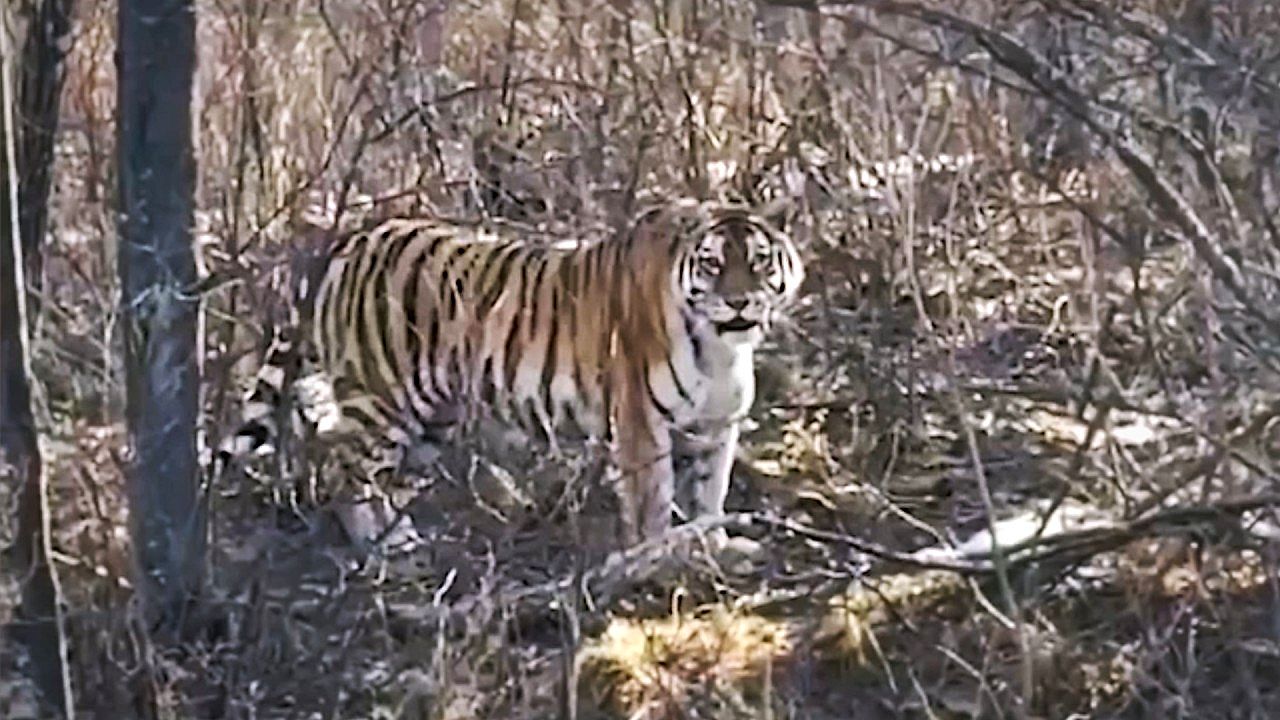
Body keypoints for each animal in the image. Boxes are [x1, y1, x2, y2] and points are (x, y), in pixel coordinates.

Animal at [217, 200, 805, 552]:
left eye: (758, 261)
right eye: (712, 264)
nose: (738, 302)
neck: (722, 350)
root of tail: (353, 236)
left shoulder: (717, 426)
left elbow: (711, 493)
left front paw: (715, 546)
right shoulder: (641, 420)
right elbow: (653, 498)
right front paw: (653, 559)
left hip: (432, 416)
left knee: (383, 475)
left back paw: (397, 534)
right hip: (382, 398)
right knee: (341, 462)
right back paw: (379, 545)